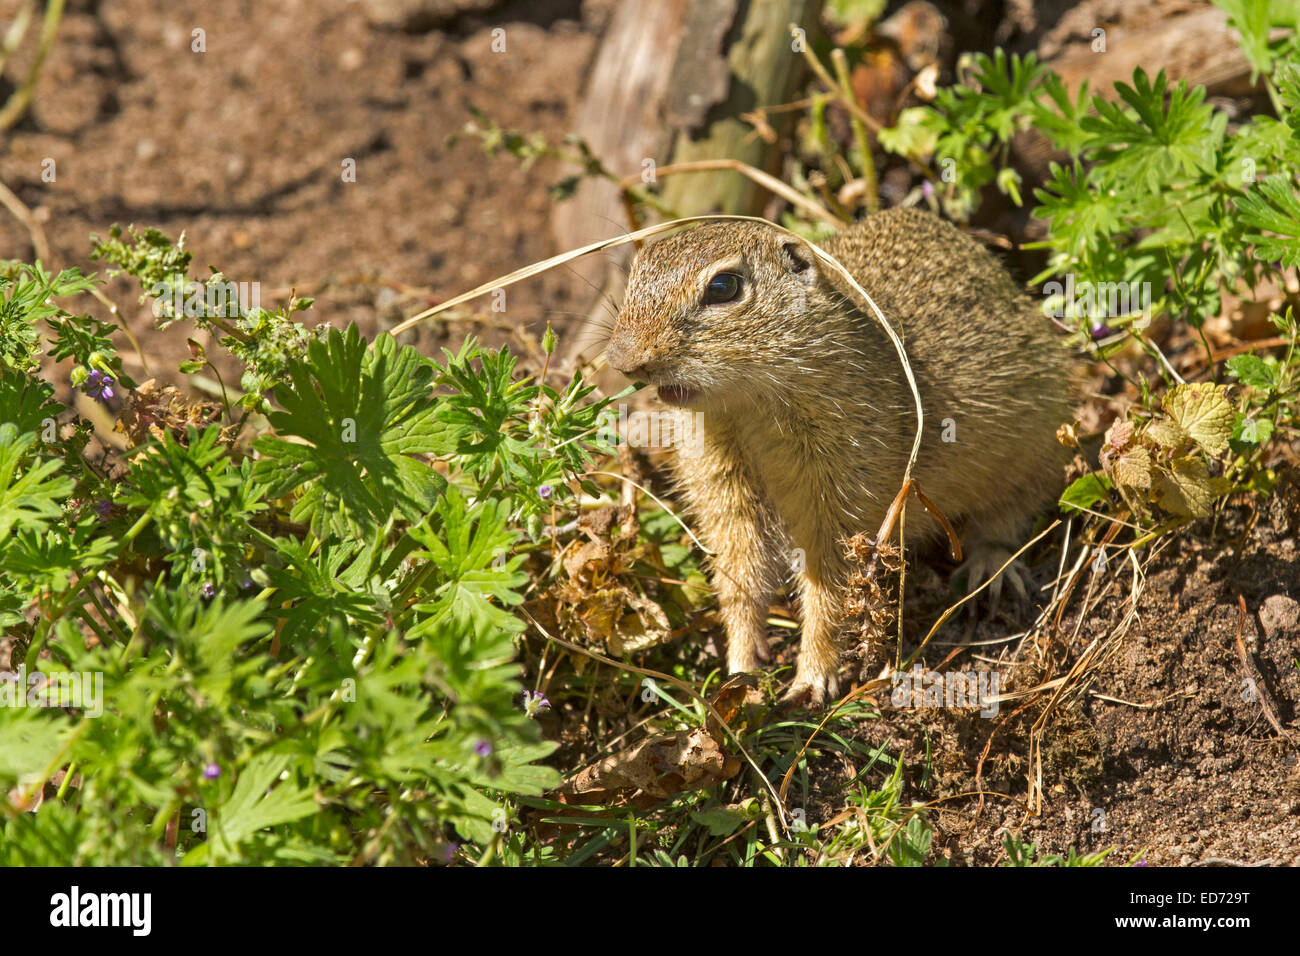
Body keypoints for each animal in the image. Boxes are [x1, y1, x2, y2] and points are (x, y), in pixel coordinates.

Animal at [605, 207, 1073, 705]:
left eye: (723, 286)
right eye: (635, 270)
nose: (621, 359)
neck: (750, 407)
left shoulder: (841, 497)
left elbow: (828, 588)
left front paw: (811, 677)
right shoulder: (724, 489)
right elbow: (740, 580)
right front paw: (740, 665)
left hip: (1034, 450)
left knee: (1010, 517)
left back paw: (991, 567)